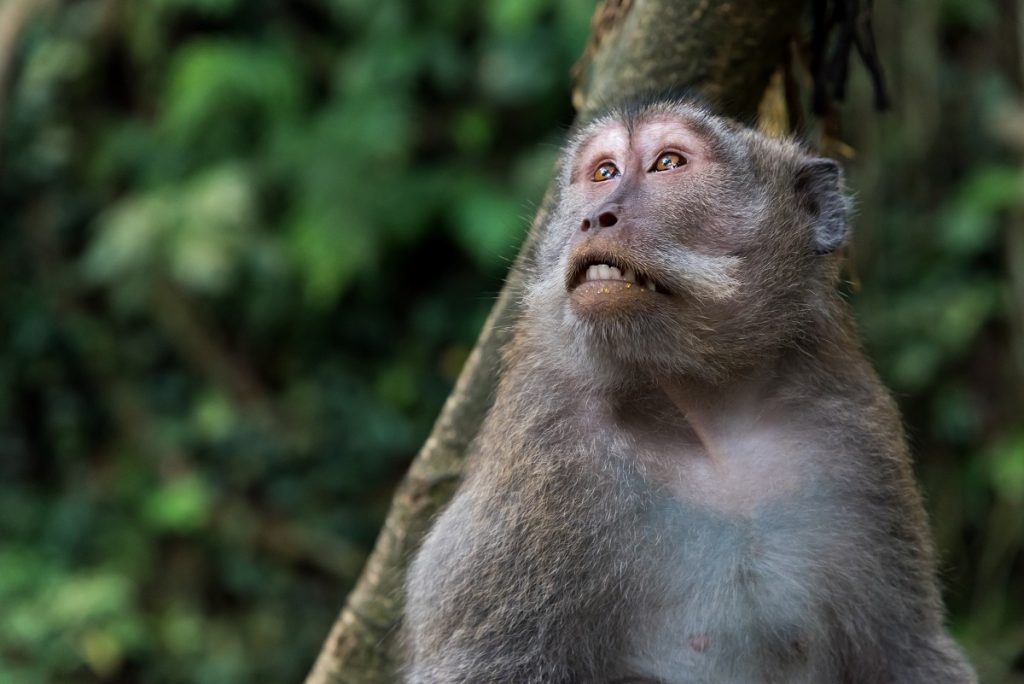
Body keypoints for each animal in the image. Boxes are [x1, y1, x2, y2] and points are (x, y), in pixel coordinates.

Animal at [403, 94, 977, 684]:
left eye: (668, 163)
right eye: (604, 172)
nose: (594, 216)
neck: (710, 409)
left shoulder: (854, 435)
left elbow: (908, 652)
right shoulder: (543, 452)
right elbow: (489, 662)